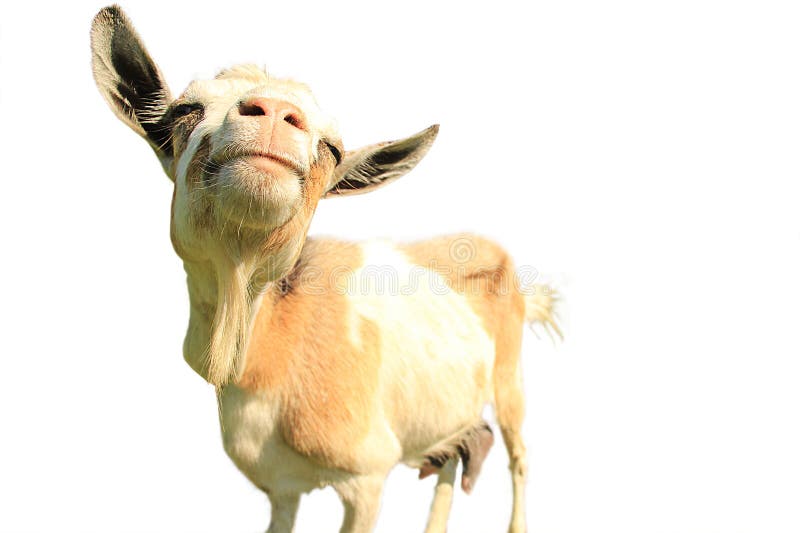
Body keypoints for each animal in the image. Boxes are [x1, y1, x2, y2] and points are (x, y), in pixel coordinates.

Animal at [90, 6, 559, 532]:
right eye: (184, 111)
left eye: (333, 149)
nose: (275, 112)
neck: (266, 357)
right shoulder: (280, 485)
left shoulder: (367, 477)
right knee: (458, 454)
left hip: (510, 380)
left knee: (517, 455)